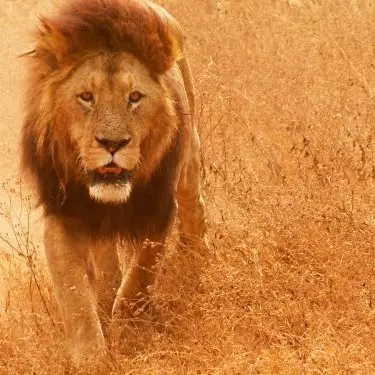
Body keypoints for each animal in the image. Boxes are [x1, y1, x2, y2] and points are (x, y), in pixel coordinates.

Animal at [20, 0, 207, 364]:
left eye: (134, 96)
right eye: (86, 97)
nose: (112, 143)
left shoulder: (158, 210)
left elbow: (139, 278)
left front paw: (129, 335)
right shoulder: (62, 215)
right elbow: (75, 297)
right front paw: (91, 358)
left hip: (189, 160)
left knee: (194, 206)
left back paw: (199, 258)